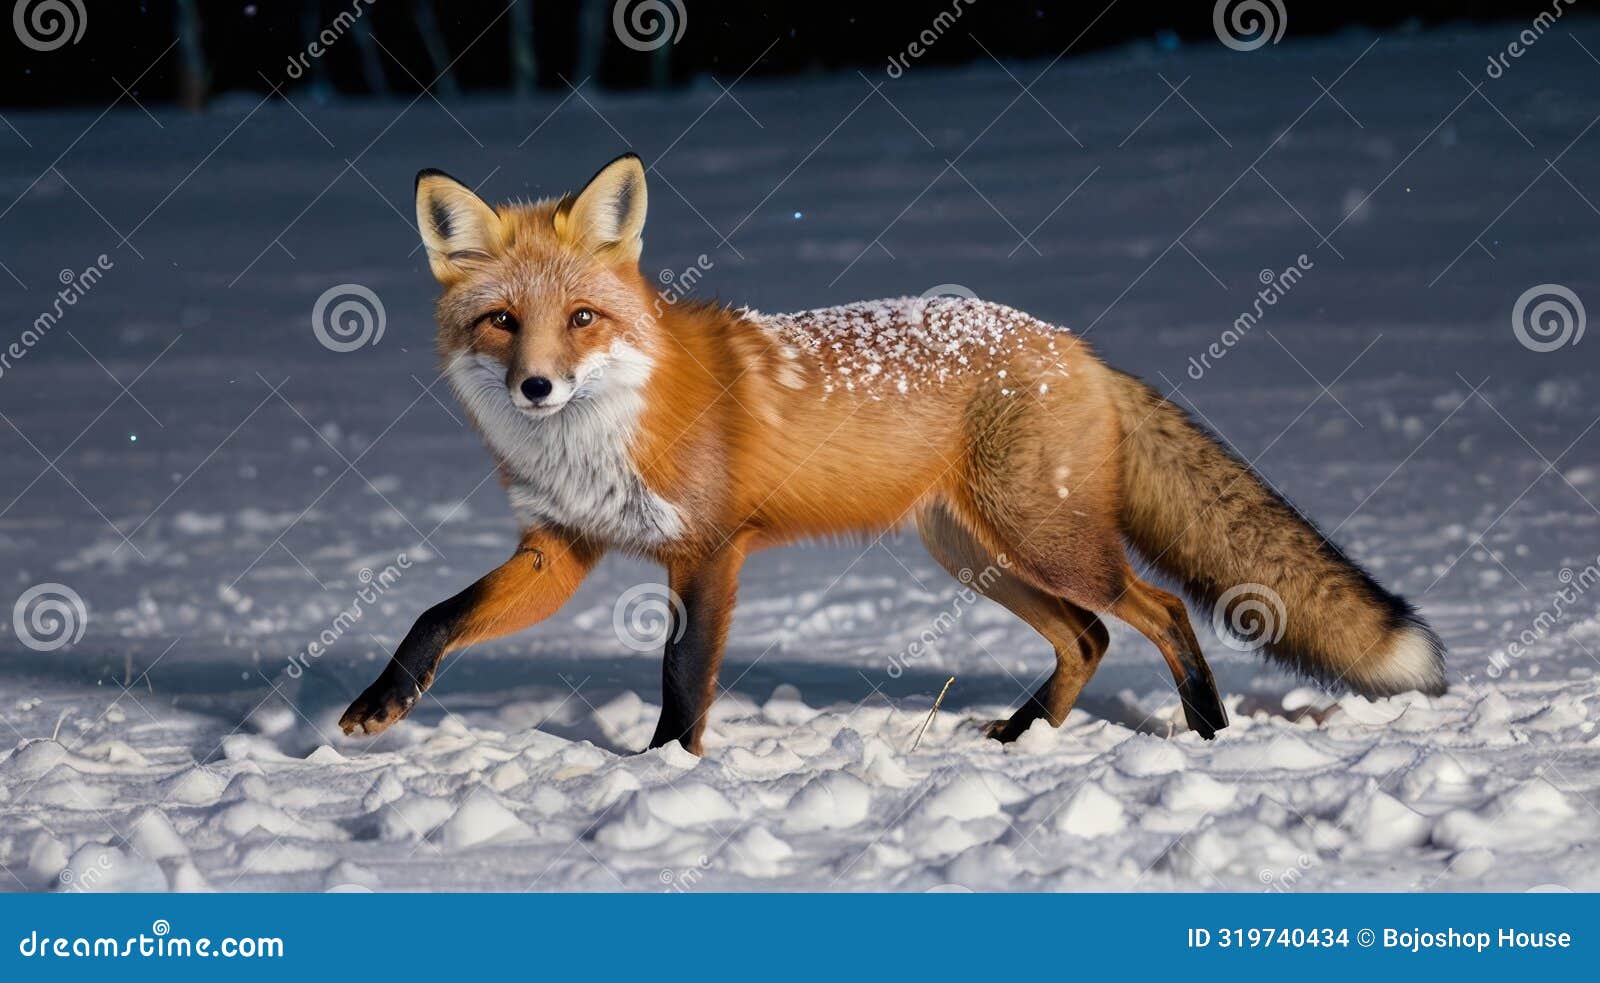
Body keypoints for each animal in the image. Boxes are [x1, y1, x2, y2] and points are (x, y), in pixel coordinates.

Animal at [338, 153, 1447, 753]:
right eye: (500, 323)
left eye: (579, 319)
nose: (537, 387)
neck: (605, 429)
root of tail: (1075, 344)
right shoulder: (561, 548)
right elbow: (437, 614)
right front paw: (382, 703)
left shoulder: (708, 549)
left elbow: (682, 673)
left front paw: (665, 769)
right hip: (975, 554)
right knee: (1088, 637)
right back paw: (1022, 735)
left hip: (1046, 542)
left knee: (1162, 608)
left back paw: (1210, 730)